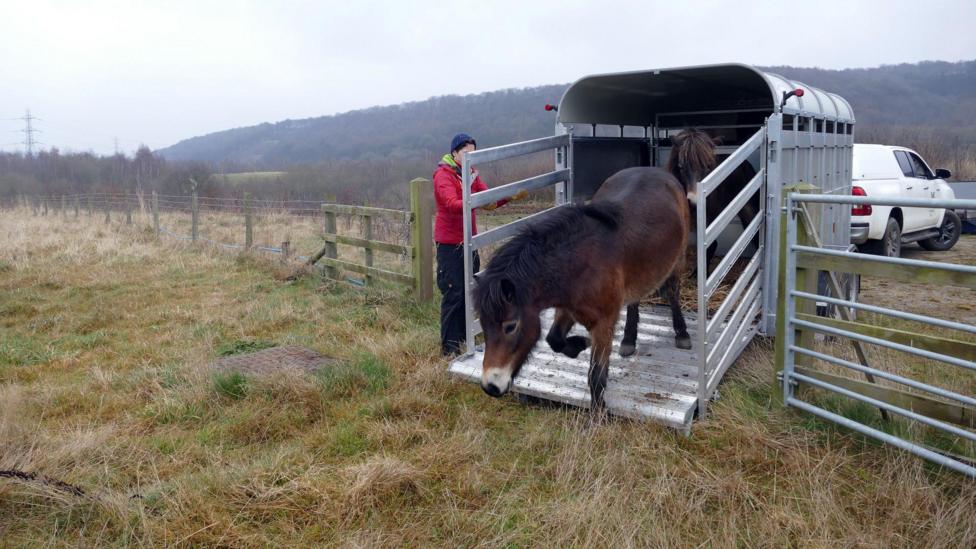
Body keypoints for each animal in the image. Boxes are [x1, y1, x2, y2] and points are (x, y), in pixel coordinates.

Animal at [473, 167, 691, 410]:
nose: (490, 386)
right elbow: (554, 339)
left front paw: (599, 414)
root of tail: (660, 172)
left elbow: (596, 378)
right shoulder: (567, 309)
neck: (580, 263)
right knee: (635, 299)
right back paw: (628, 339)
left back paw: (682, 333)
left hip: (677, 261)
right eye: (483, 324)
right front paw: (578, 345)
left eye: (510, 326)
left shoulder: (603, 326)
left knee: (672, 292)